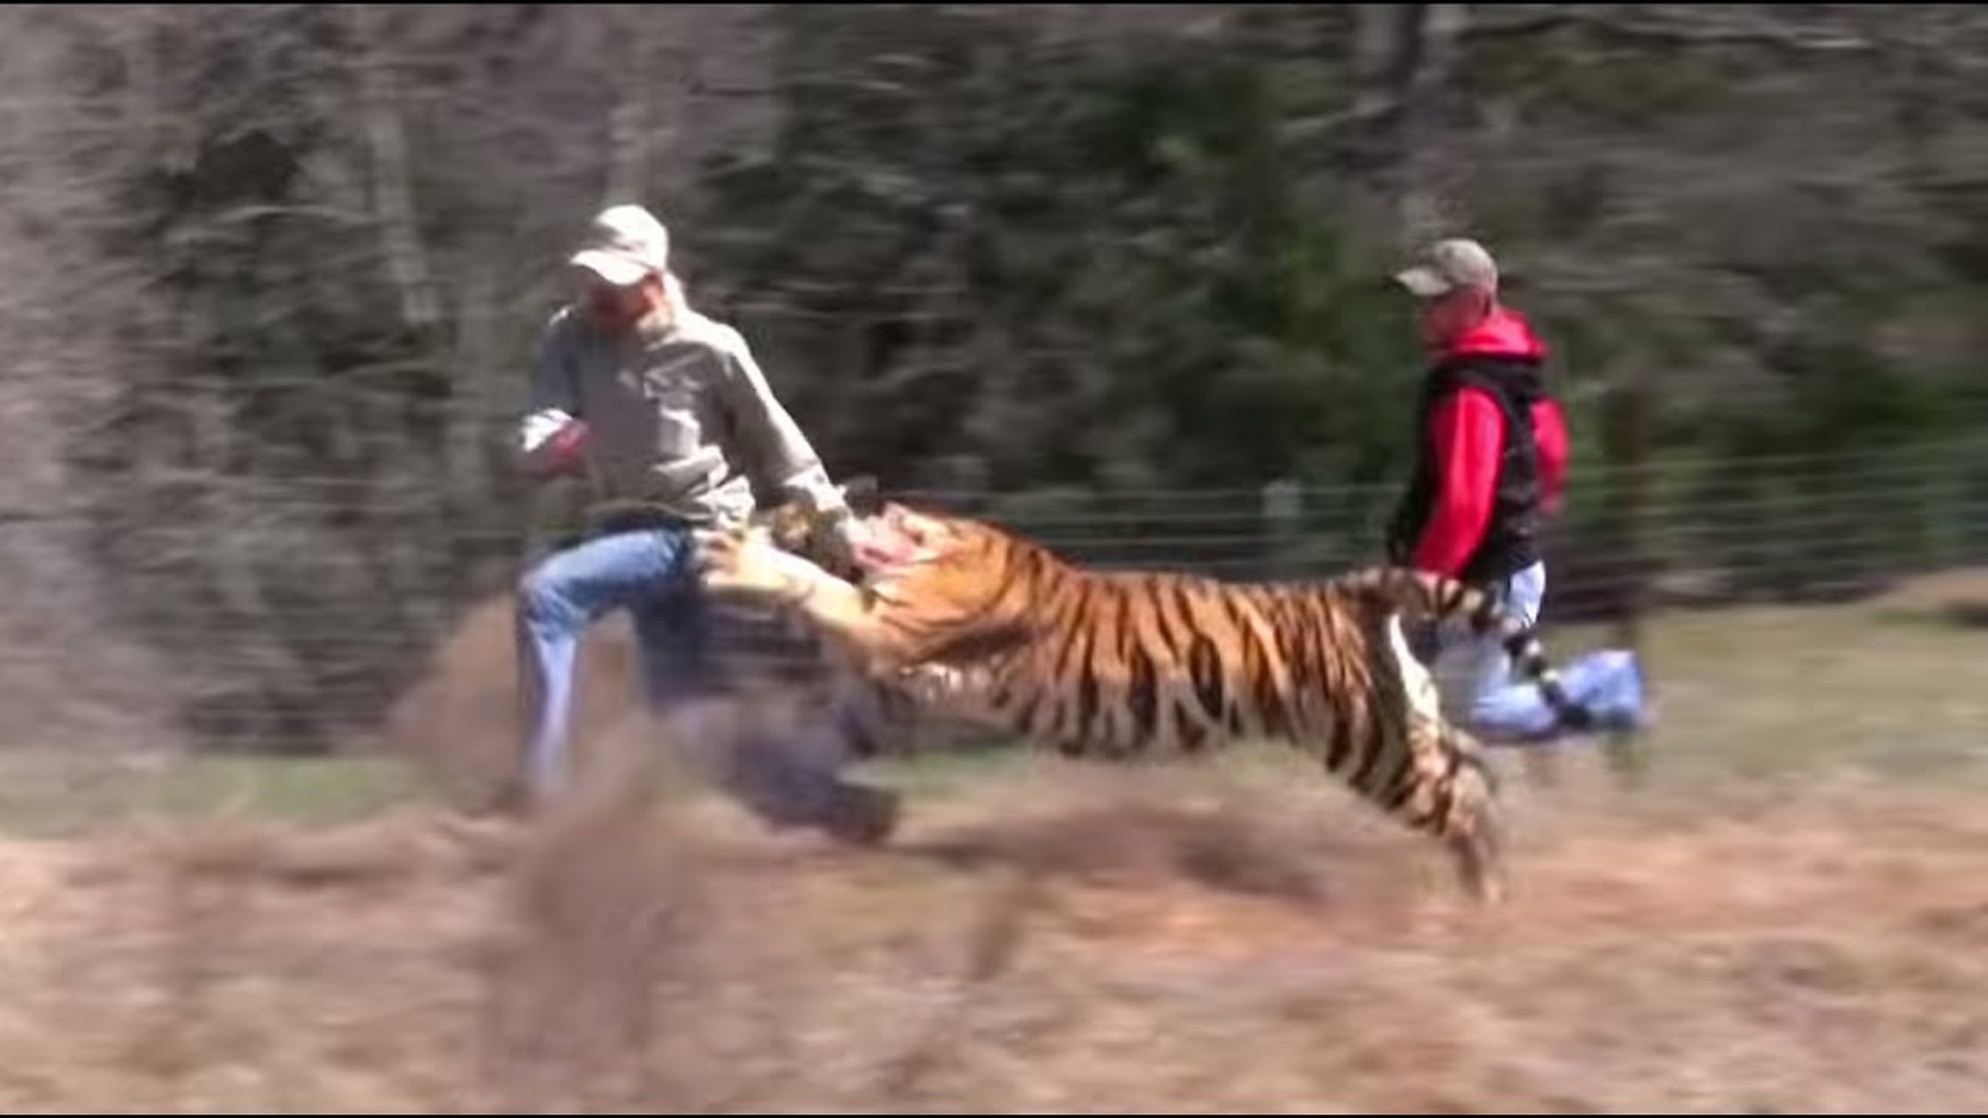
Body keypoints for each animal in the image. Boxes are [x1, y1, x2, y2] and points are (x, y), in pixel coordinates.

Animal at [691, 484, 1599, 905]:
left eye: (781, 506)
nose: (869, 494)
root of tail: (1350, 588)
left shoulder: (894, 634)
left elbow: (816, 590)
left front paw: (738, 560)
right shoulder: (904, 681)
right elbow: (831, 712)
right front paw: (803, 787)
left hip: (1371, 748)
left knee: (1461, 801)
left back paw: (1485, 898)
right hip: (1406, 719)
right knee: (1477, 763)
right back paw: (1500, 862)